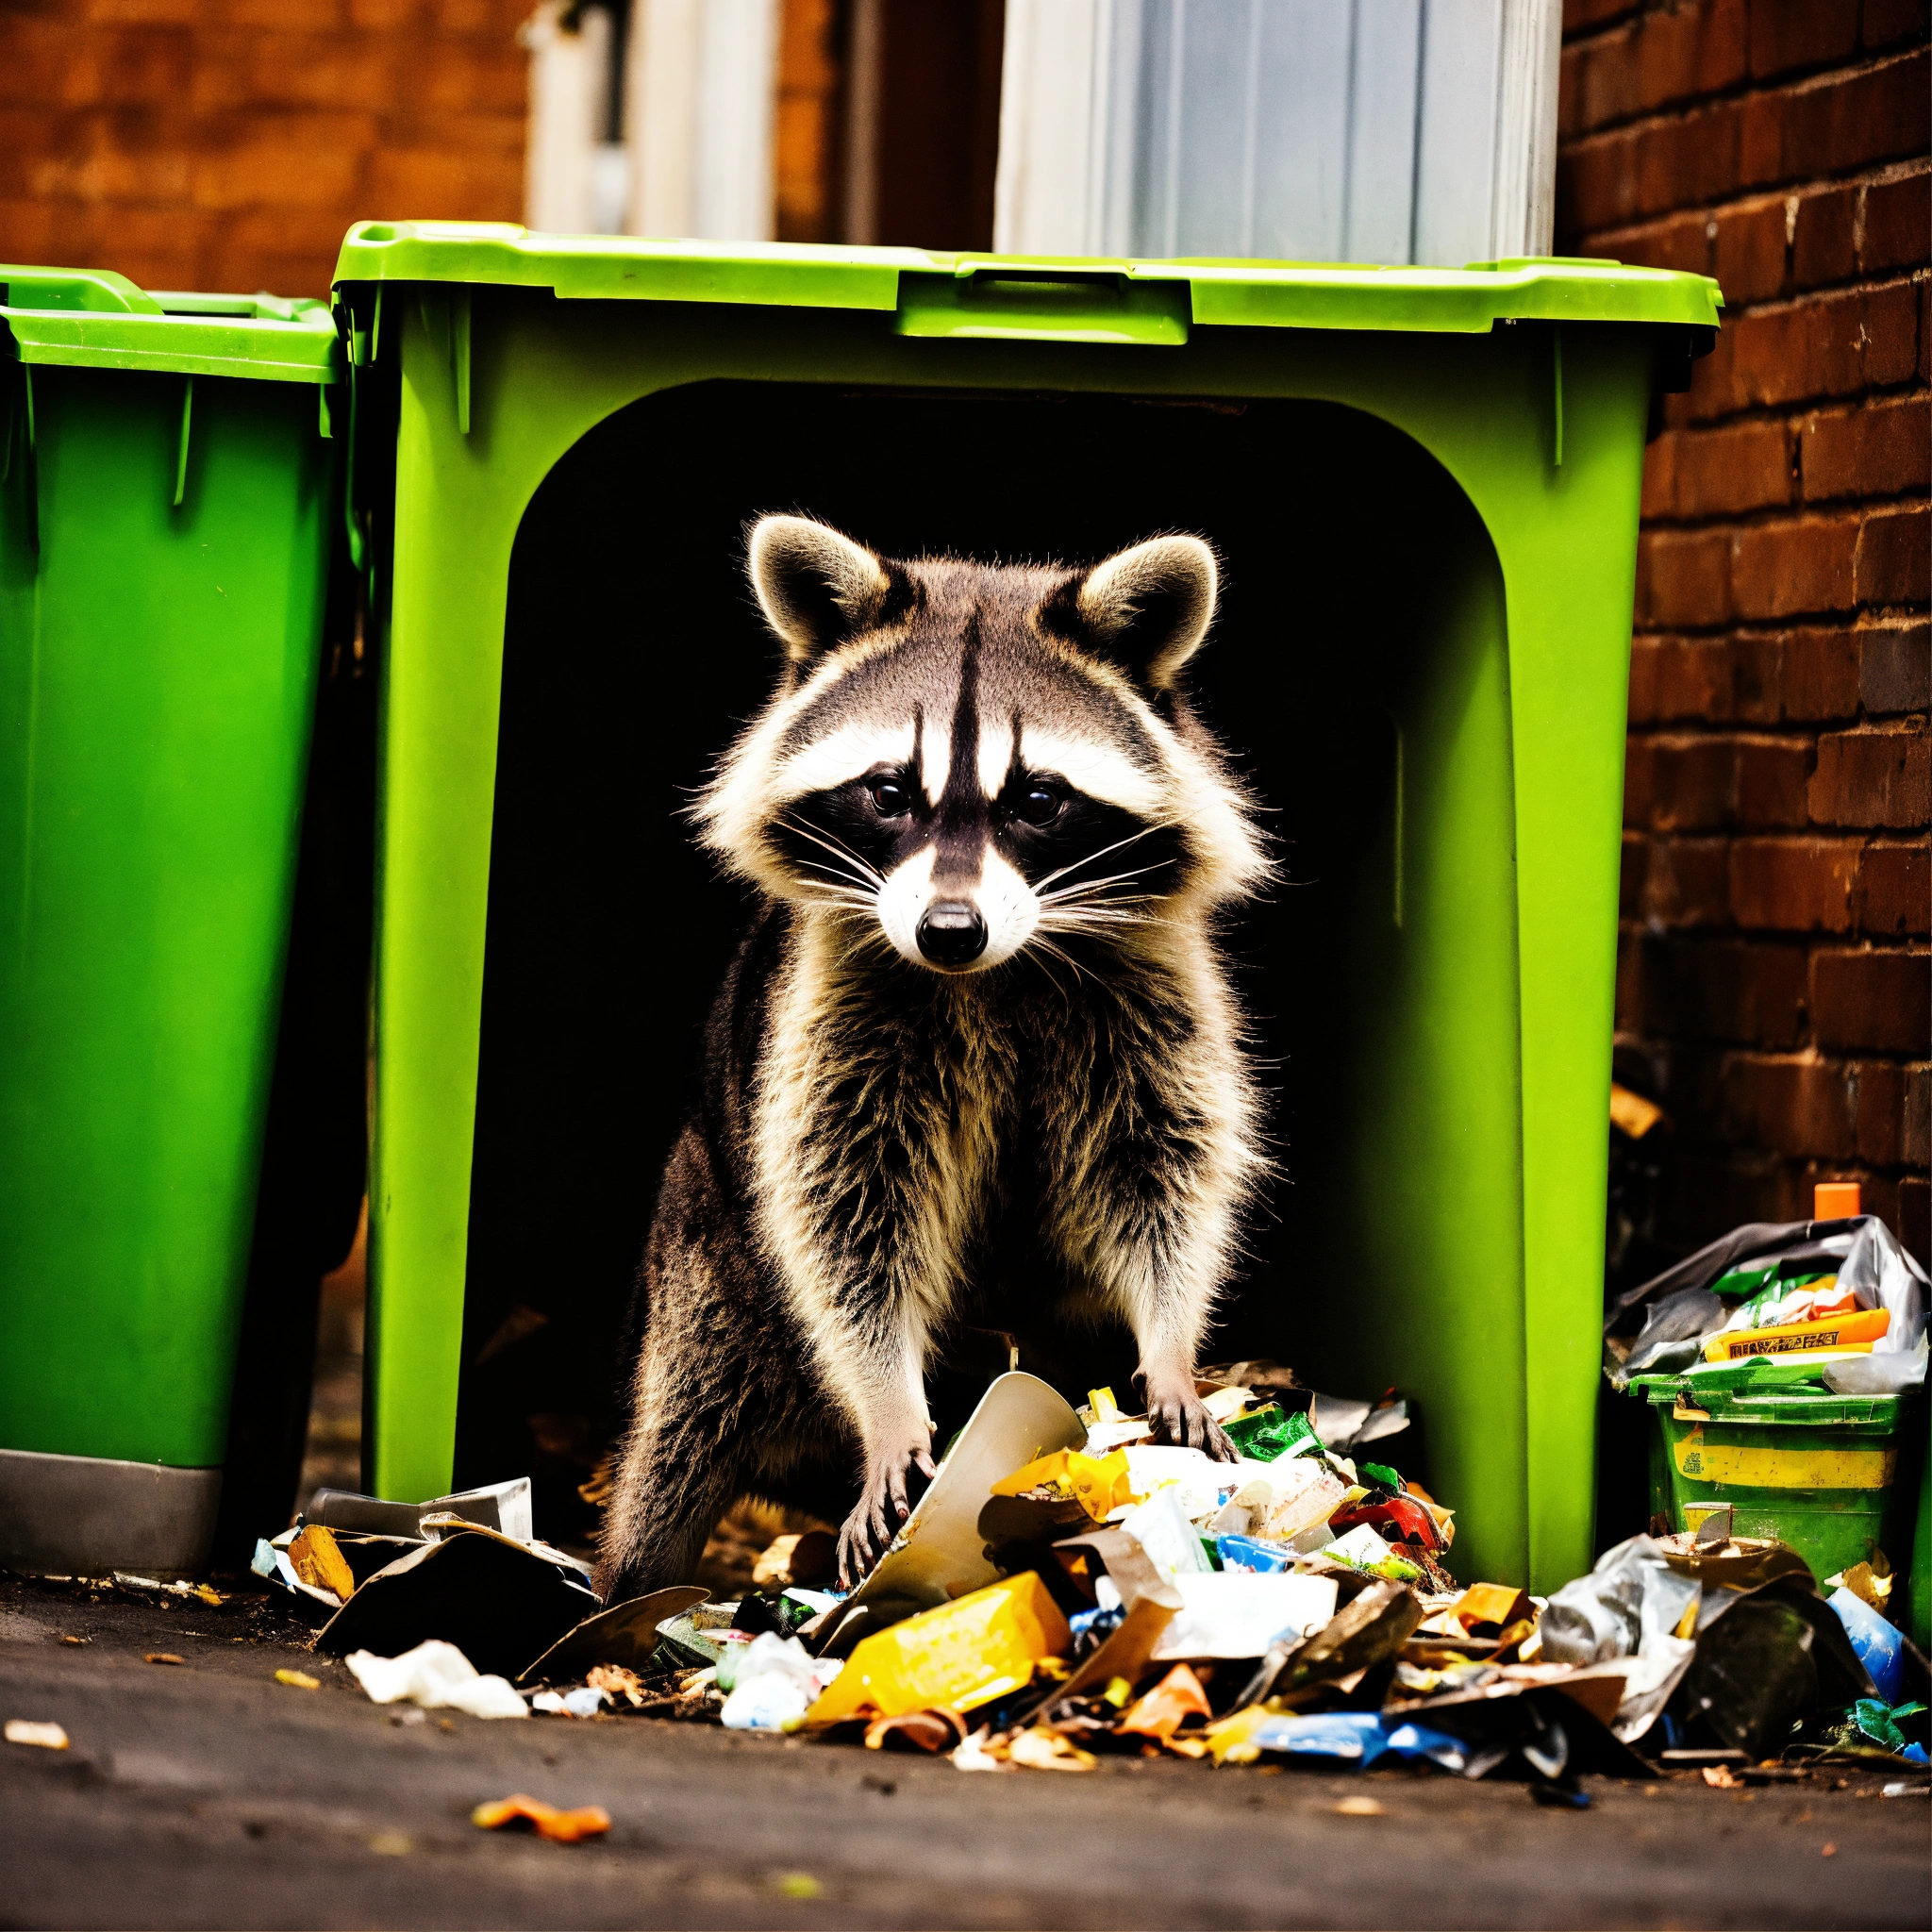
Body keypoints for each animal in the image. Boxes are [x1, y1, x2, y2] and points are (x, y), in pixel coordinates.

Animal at [593, 516, 1270, 1600]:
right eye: (888, 792)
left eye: (1036, 798)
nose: (948, 929)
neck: (990, 973)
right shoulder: (833, 1013)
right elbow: (843, 1218)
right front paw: (888, 1402)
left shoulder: (1151, 994)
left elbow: (1161, 1173)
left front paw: (1171, 1340)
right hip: (699, 1260)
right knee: (675, 1438)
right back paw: (635, 1587)